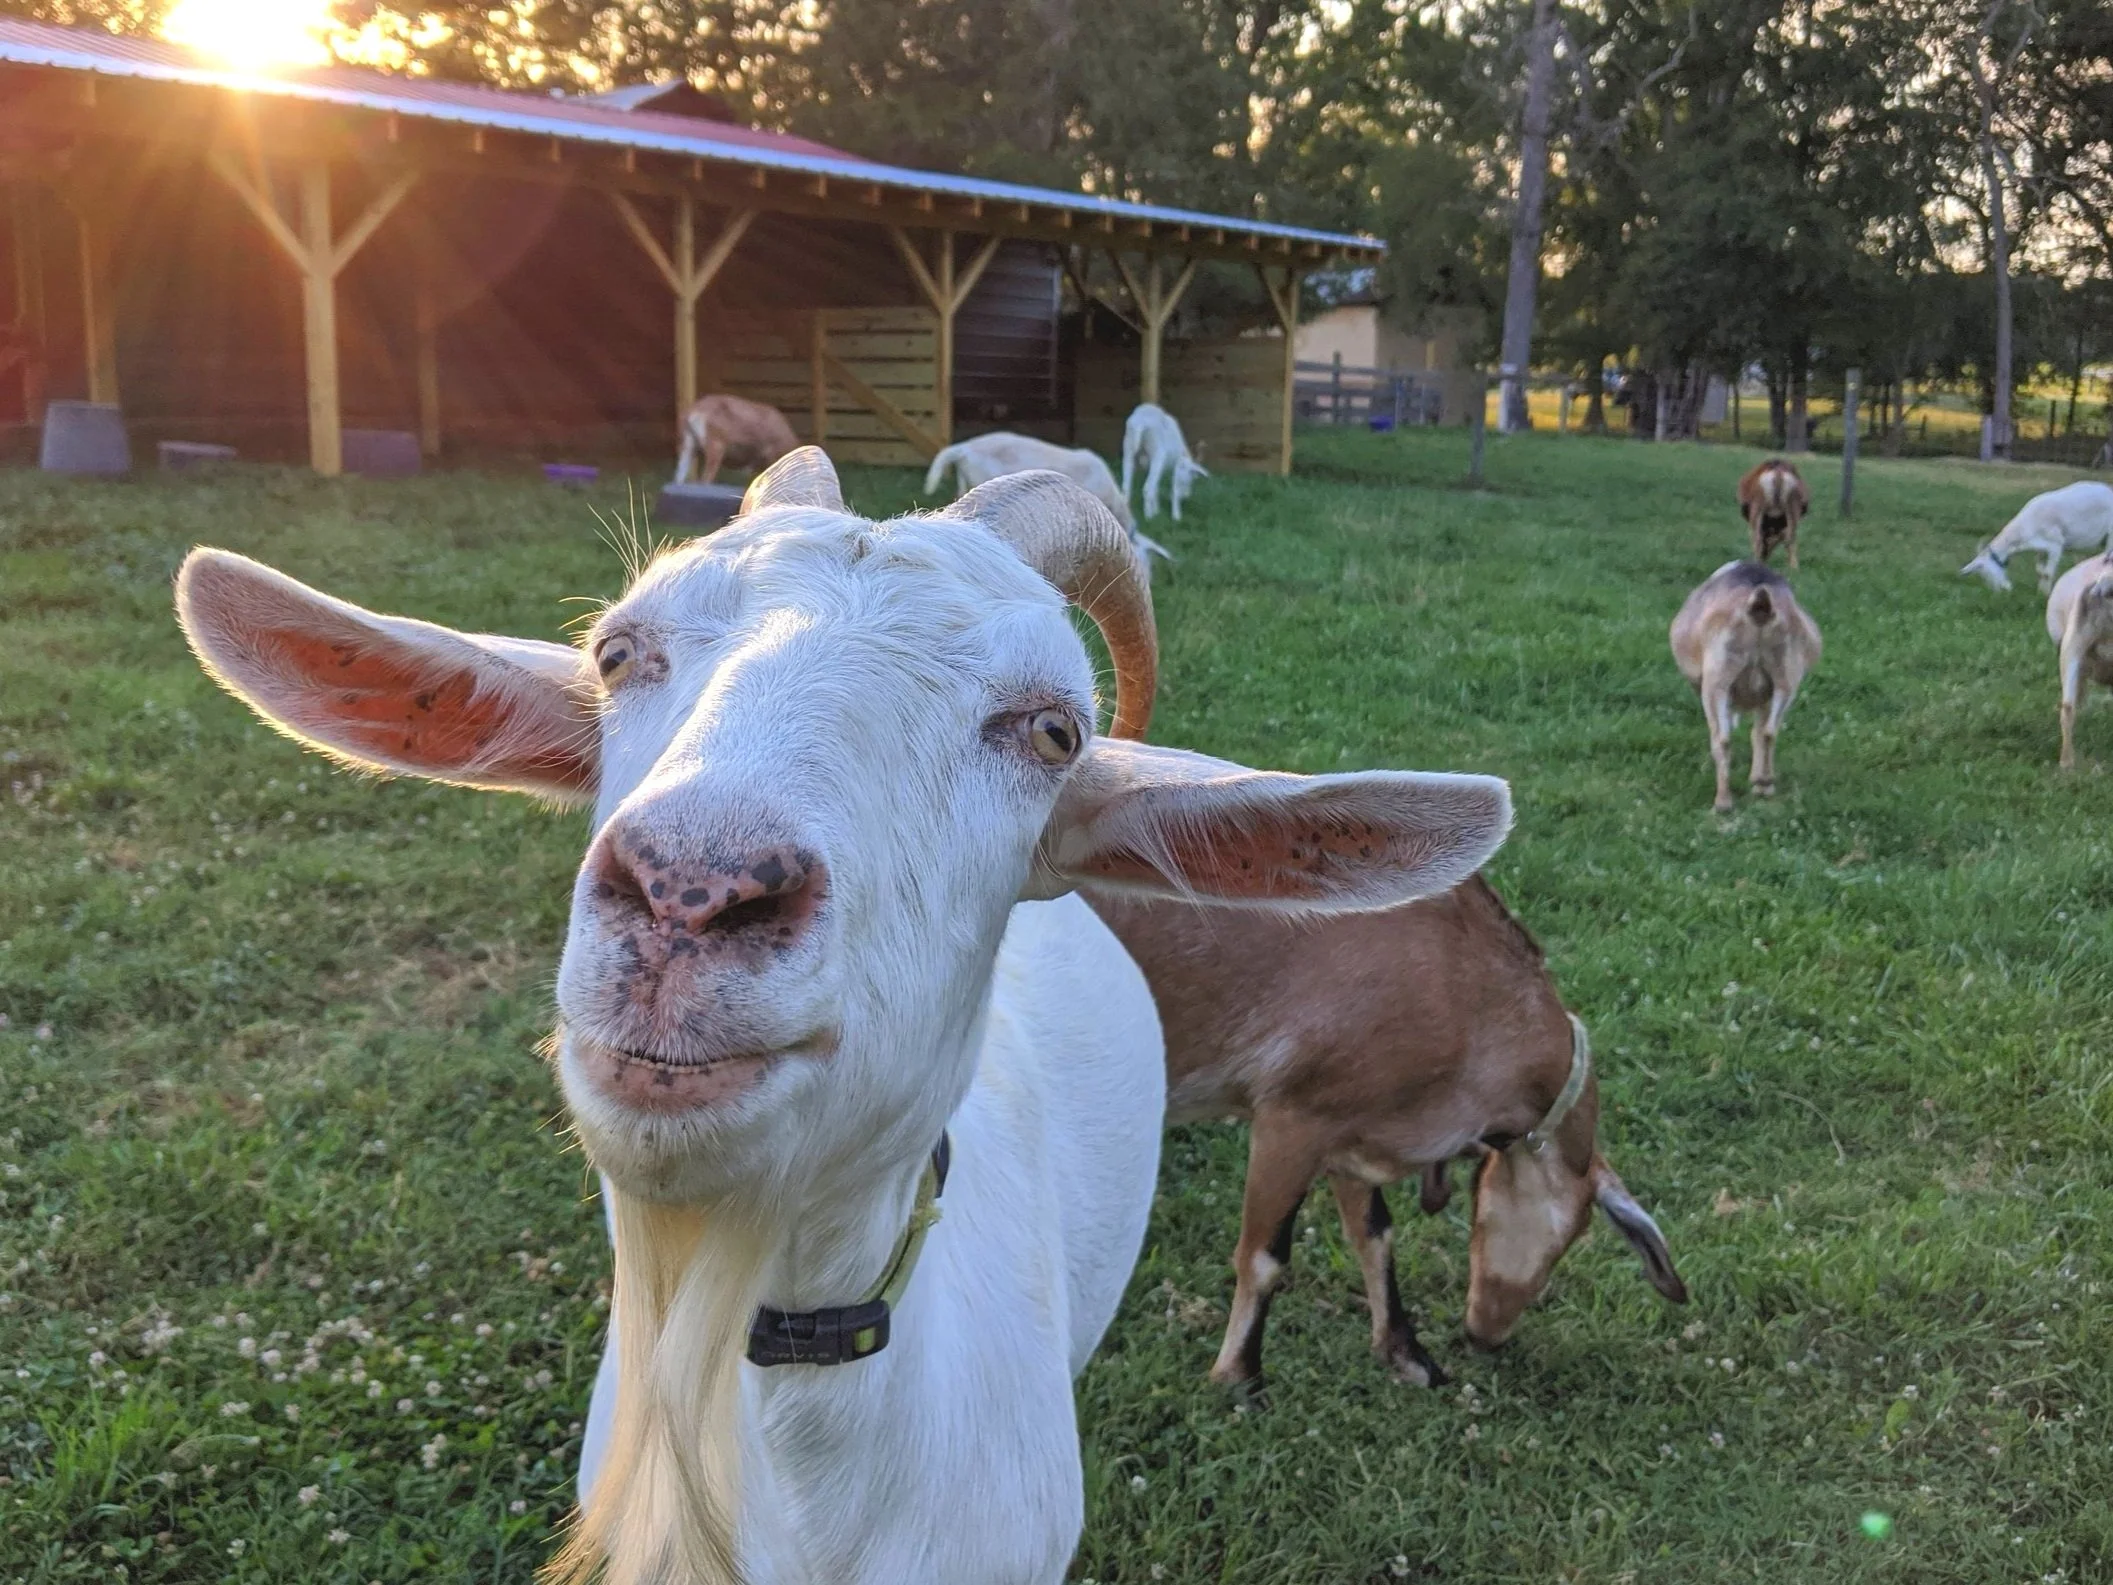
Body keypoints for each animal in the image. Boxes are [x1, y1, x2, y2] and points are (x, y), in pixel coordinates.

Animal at [1090, 877, 1685, 1389]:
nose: (1487, 1332)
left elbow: (1375, 1234)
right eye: (1568, 1236)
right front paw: (1239, 1380)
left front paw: (1408, 1356)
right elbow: (1264, 1258)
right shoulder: (1292, 1117)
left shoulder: (1349, 1125)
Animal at [1671, 560, 1823, 813]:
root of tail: (1760, 603)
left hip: (1717, 680)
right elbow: (1759, 730)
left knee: (1723, 738)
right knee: (1769, 731)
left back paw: (1723, 802)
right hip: (1785, 676)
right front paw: (1759, 782)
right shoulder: (1766, 695)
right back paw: (1764, 783)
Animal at [1961, 480, 2113, 594]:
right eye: (1983, 575)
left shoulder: (2056, 544)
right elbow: (2040, 571)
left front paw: (2046, 595)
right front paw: (2040, 592)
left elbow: (2048, 573)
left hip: (2110, 533)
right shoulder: (2040, 548)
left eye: (1987, 574)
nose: (2000, 591)